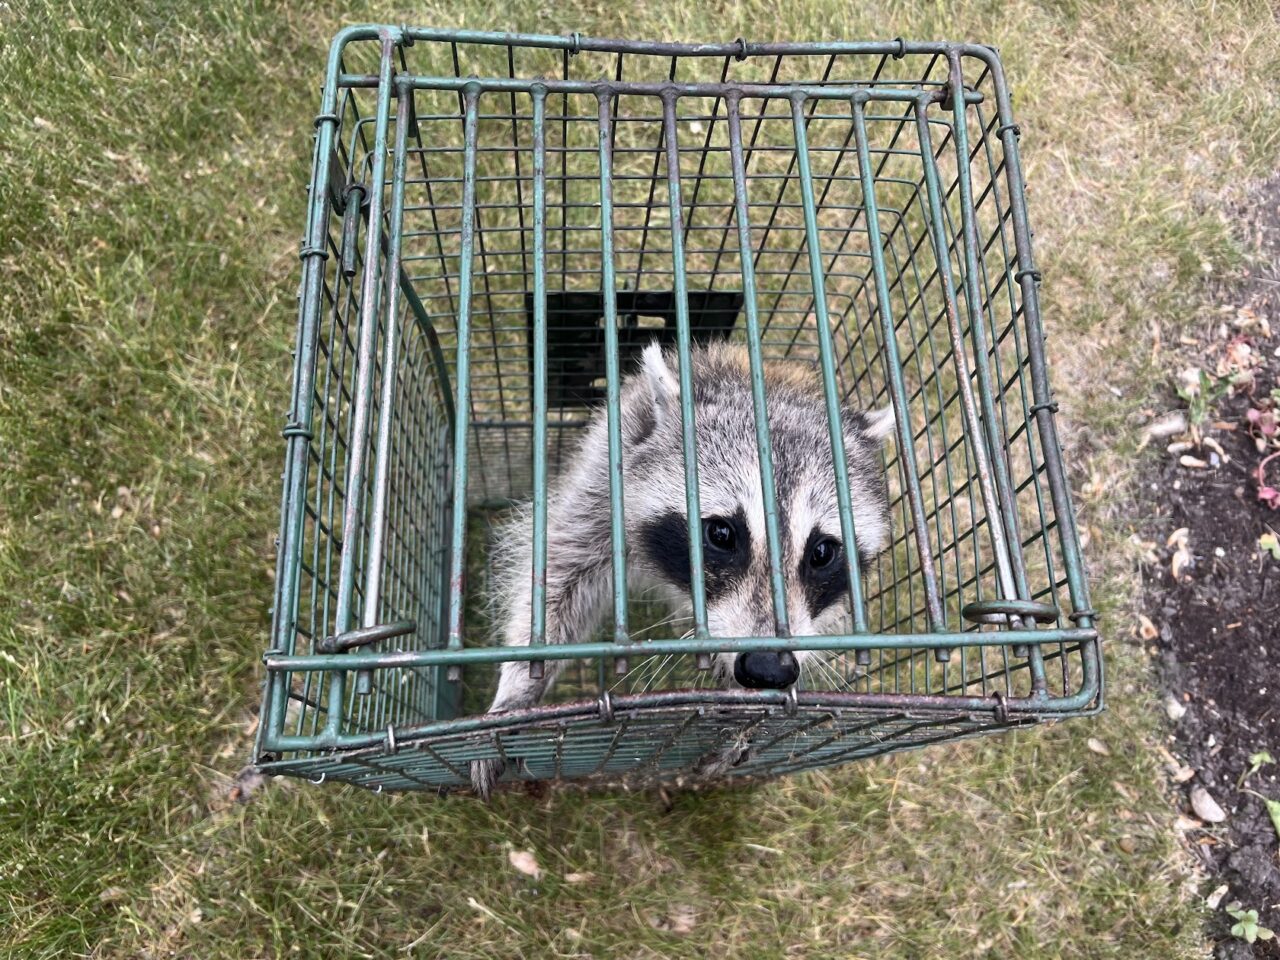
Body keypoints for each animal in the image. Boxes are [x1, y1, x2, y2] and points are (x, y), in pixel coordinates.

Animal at [471, 340, 894, 798]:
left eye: (821, 553)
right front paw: (517, 691)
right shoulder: (607, 486)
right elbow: (559, 573)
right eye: (722, 534)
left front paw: (749, 717)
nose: (768, 669)